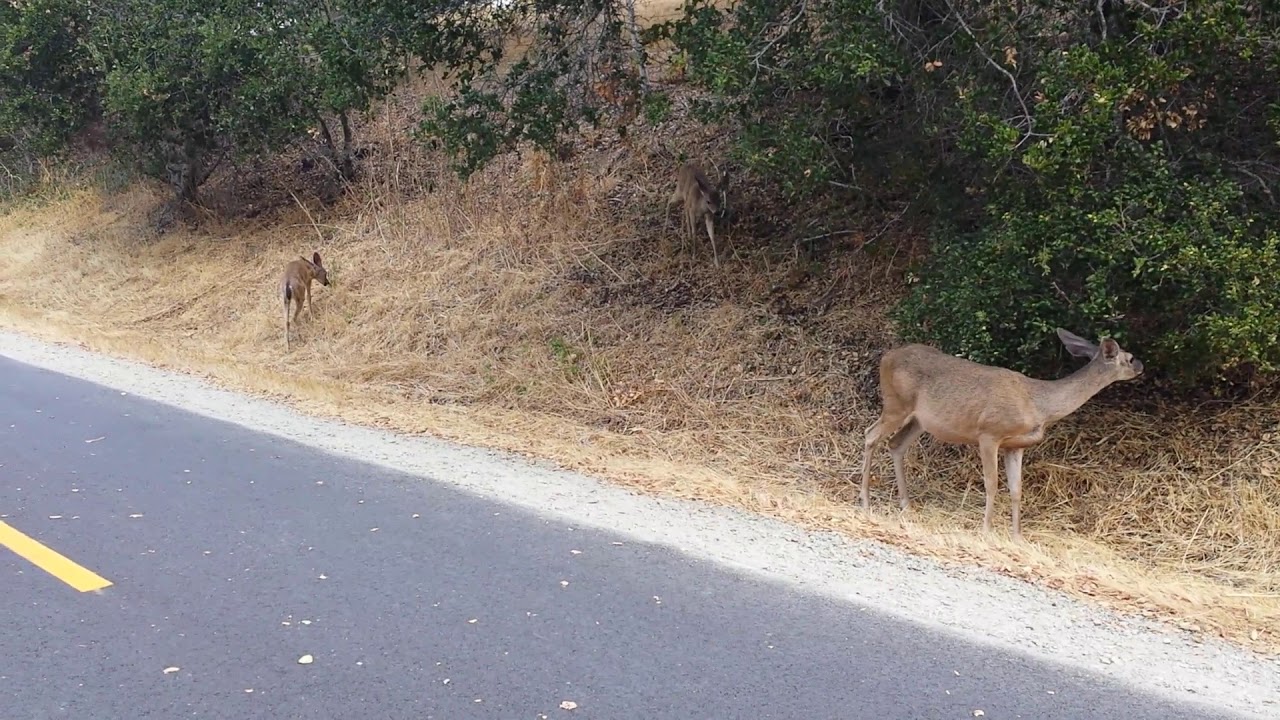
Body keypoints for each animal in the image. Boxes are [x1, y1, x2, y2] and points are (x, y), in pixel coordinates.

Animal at [859, 328, 1144, 542]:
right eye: (1129, 357)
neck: (1039, 404)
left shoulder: (1015, 445)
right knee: (870, 435)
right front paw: (987, 530)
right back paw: (865, 501)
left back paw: (906, 504)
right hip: (896, 404)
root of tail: (887, 356)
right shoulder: (989, 433)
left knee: (895, 444)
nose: (1142, 365)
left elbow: (1017, 489)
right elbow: (992, 483)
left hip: (919, 419)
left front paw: (1018, 537)